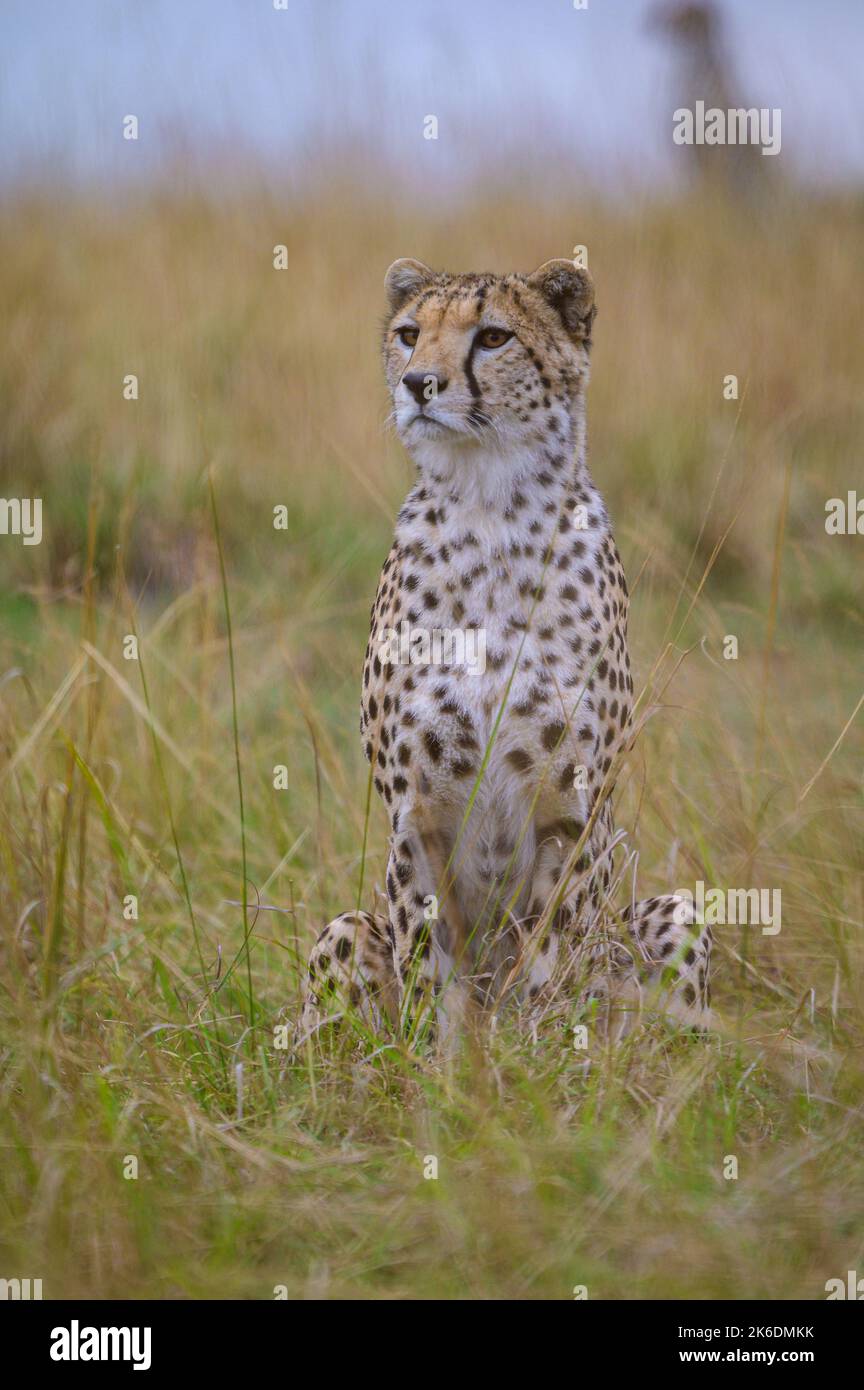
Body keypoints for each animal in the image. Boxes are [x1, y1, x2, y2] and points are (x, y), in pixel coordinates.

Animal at [296, 256, 712, 1050]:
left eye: (493, 337)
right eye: (409, 333)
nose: (418, 383)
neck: (489, 507)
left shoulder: (573, 810)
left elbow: (552, 948)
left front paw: (538, 1058)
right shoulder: (414, 810)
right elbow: (427, 955)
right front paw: (440, 1065)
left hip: (672, 919)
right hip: (345, 930)